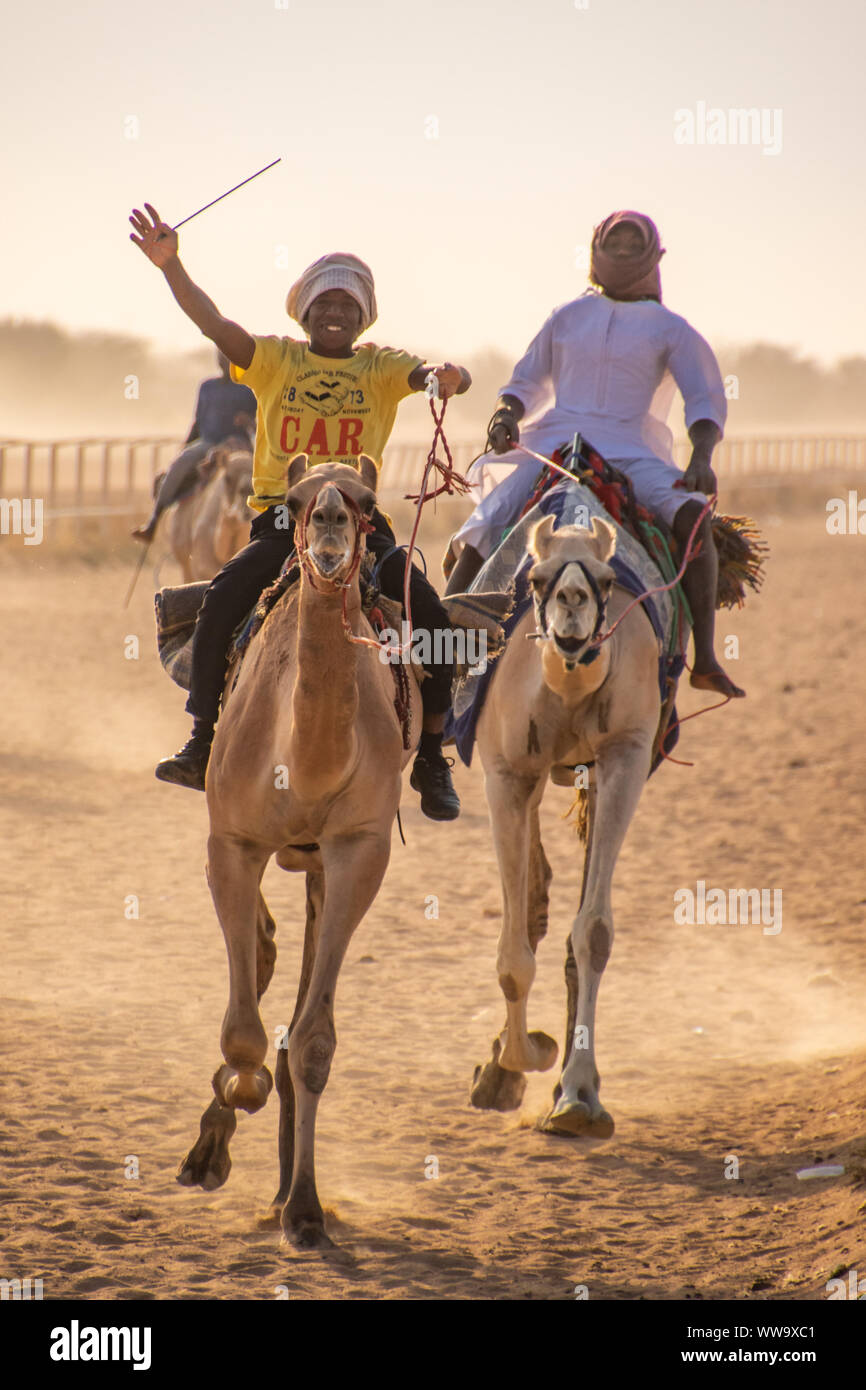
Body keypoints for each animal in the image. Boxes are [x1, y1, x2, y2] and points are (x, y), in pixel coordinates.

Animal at [176, 455, 422, 1249]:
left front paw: (307, 1212)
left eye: (368, 501)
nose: (332, 523)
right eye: (296, 498)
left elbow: (313, 1041)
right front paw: (228, 1115)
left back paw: (287, 1186)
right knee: (260, 953)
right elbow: (243, 1033)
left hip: (317, 864)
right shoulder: (233, 841)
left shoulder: (357, 852)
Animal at [469, 510, 661, 1136]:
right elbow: (513, 950)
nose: (572, 599)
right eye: (536, 579)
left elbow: (593, 931)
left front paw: (577, 1094)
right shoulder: (506, 773)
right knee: (531, 901)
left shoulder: (625, 756)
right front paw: (518, 1059)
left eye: (606, 580)